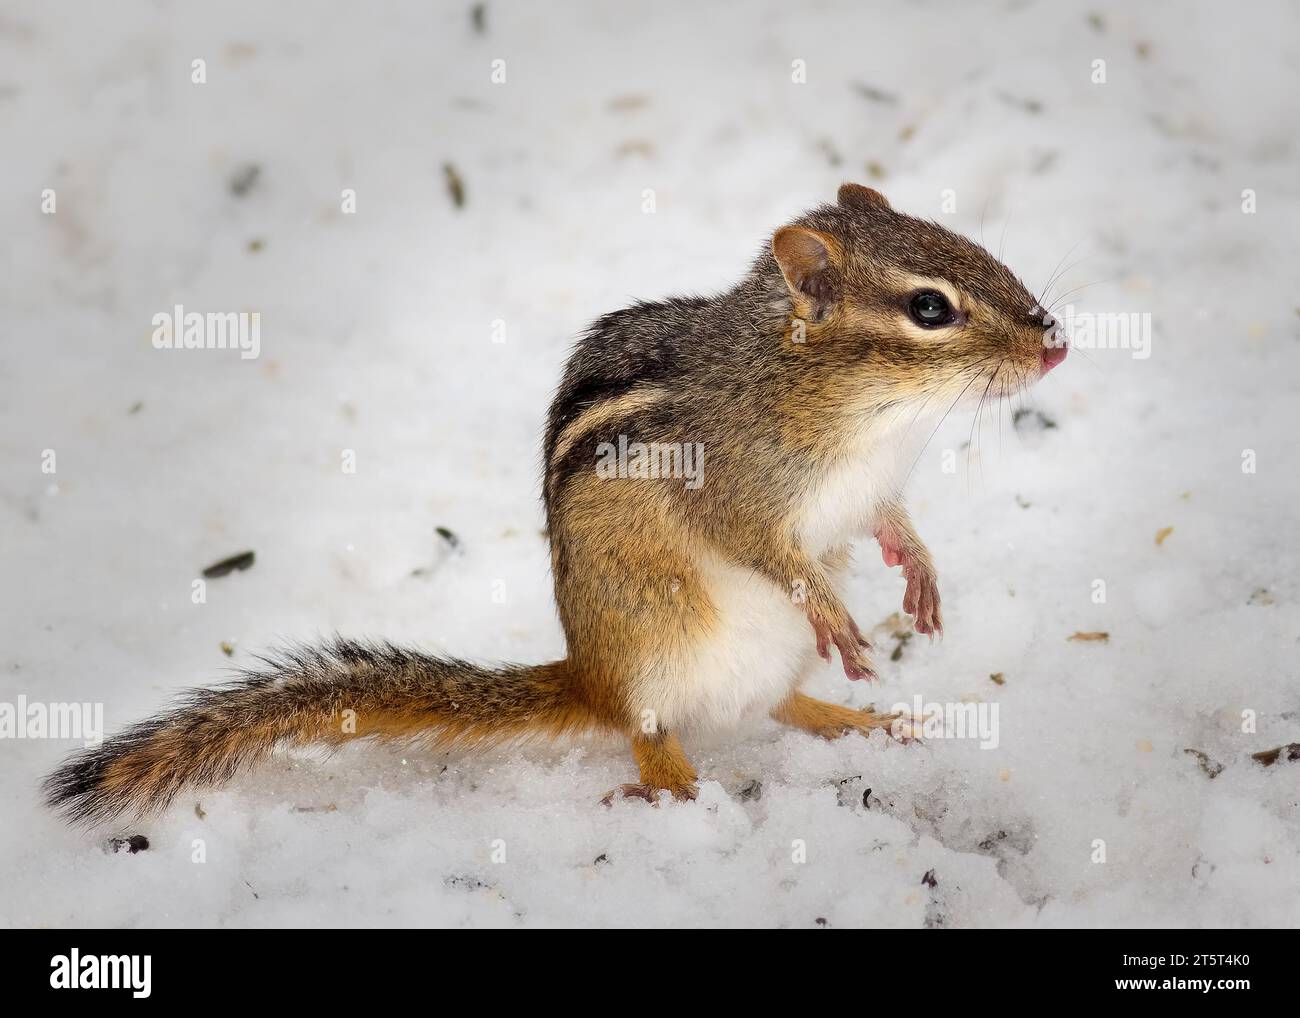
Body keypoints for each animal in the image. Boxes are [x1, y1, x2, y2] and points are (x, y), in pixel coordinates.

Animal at [45, 182, 1066, 823]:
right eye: (930, 308)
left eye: (974, 248)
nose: (1055, 343)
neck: (864, 411)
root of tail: (588, 676)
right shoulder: (738, 490)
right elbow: (770, 552)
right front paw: (833, 605)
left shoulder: (873, 489)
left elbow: (890, 523)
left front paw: (918, 571)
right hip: (657, 647)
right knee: (652, 734)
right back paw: (676, 792)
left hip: (756, 664)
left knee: (781, 709)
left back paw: (869, 723)